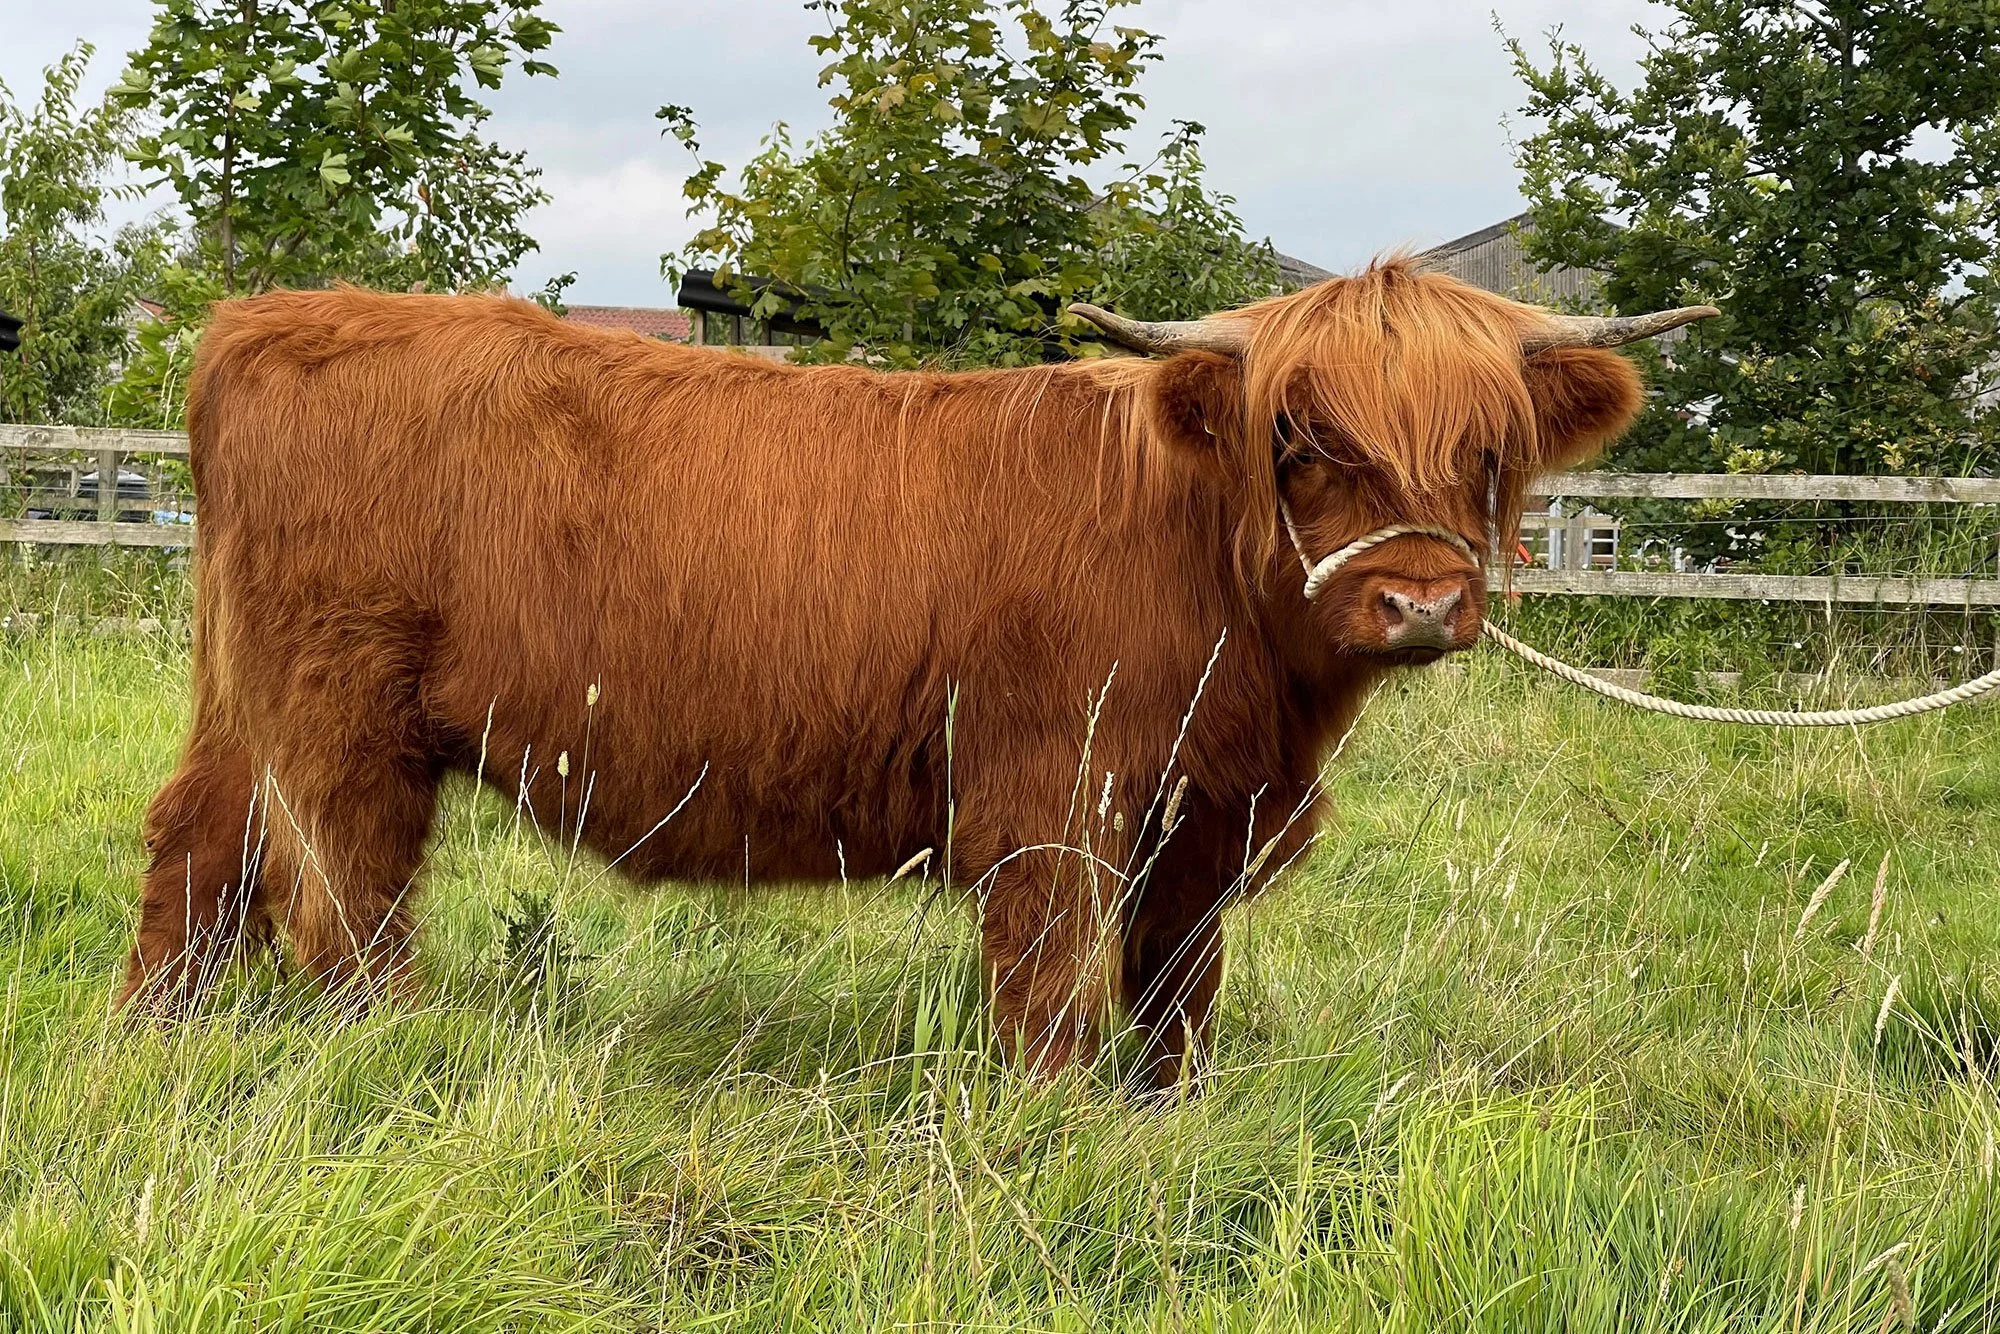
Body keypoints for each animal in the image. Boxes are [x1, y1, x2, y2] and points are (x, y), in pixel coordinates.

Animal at [119, 260, 1713, 1087]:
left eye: (1490, 449)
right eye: (1303, 438)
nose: (1422, 600)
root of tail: (268, 316)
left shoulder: (1205, 812)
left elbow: (1177, 985)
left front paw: (1170, 1114)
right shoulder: (1054, 791)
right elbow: (1055, 976)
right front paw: (1062, 1122)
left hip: (249, 695)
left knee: (199, 840)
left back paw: (161, 1039)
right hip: (345, 716)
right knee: (341, 897)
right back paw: (380, 1054)